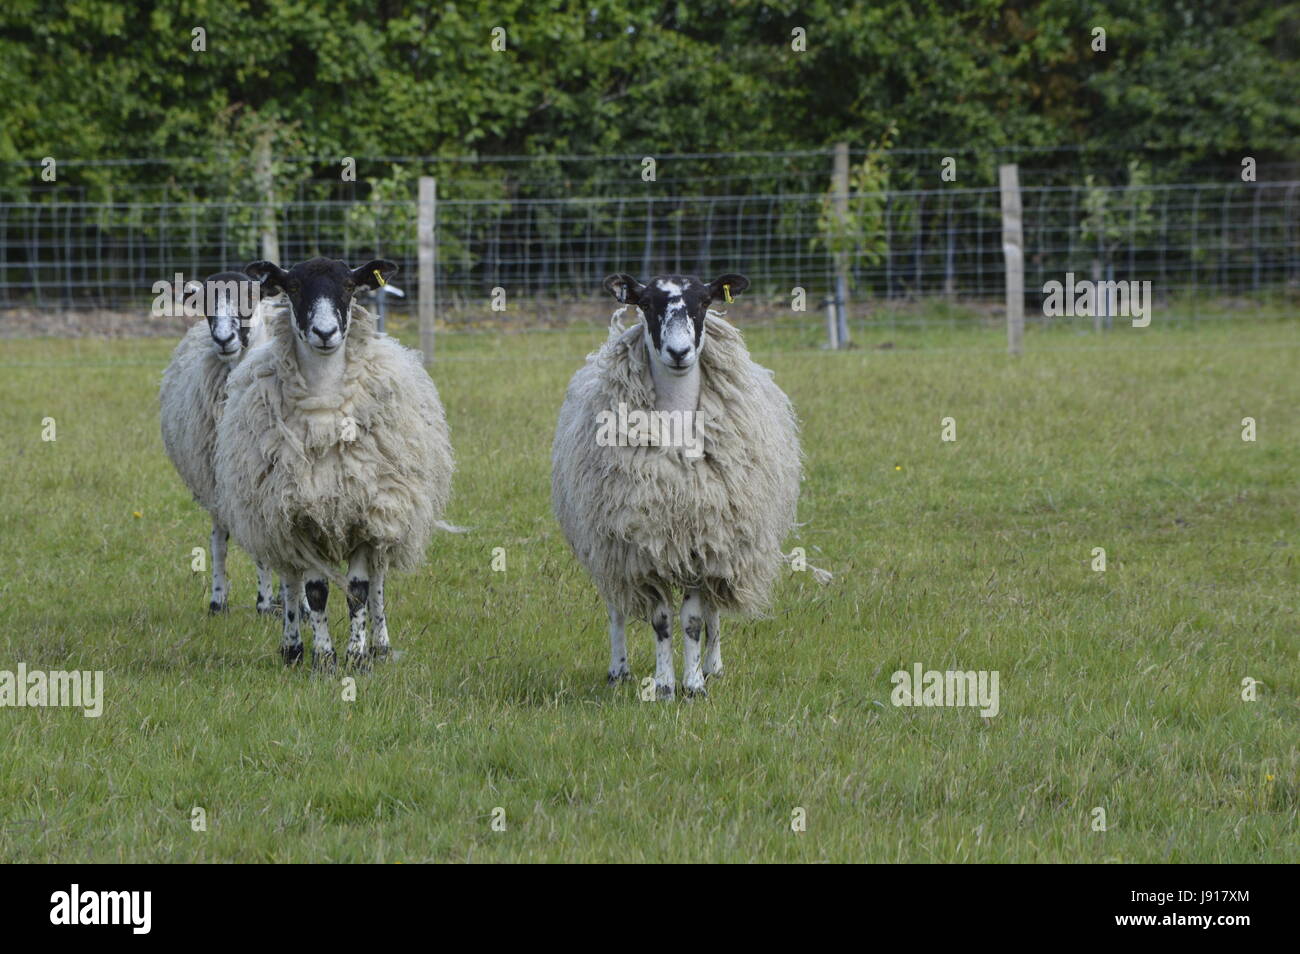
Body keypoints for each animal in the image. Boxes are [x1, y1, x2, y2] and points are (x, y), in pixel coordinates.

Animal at [160, 271, 280, 614]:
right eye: (204, 303)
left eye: (250, 298)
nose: (224, 339)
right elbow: (223, 545)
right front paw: (245, 600)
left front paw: (270, 604)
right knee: (218, 539)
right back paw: (218, 600)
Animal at [214, 257, 454, 672]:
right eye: (293, 288)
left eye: (348, 286)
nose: (324, 333)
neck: (325, 407)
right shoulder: (300, 517)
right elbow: (315, 592)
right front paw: (324, 659)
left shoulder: (365, 515)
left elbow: (358, 591)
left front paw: (357, 656)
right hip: (276, 520)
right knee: (291, 583)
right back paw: (292, 648)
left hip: (387, 512)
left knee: (377, 582)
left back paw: (381, 645)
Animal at [551, 272, 803, 698]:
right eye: (646, 304)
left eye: (704, 302)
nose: (679, 352)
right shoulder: (642, 549)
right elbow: (662, 621)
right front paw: (665, 686)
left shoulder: (704, 542)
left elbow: (693, 621)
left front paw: (695, 683)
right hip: (606, 545)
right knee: (616, 607)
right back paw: (618, 670)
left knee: (713, 609)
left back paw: (714, 666)